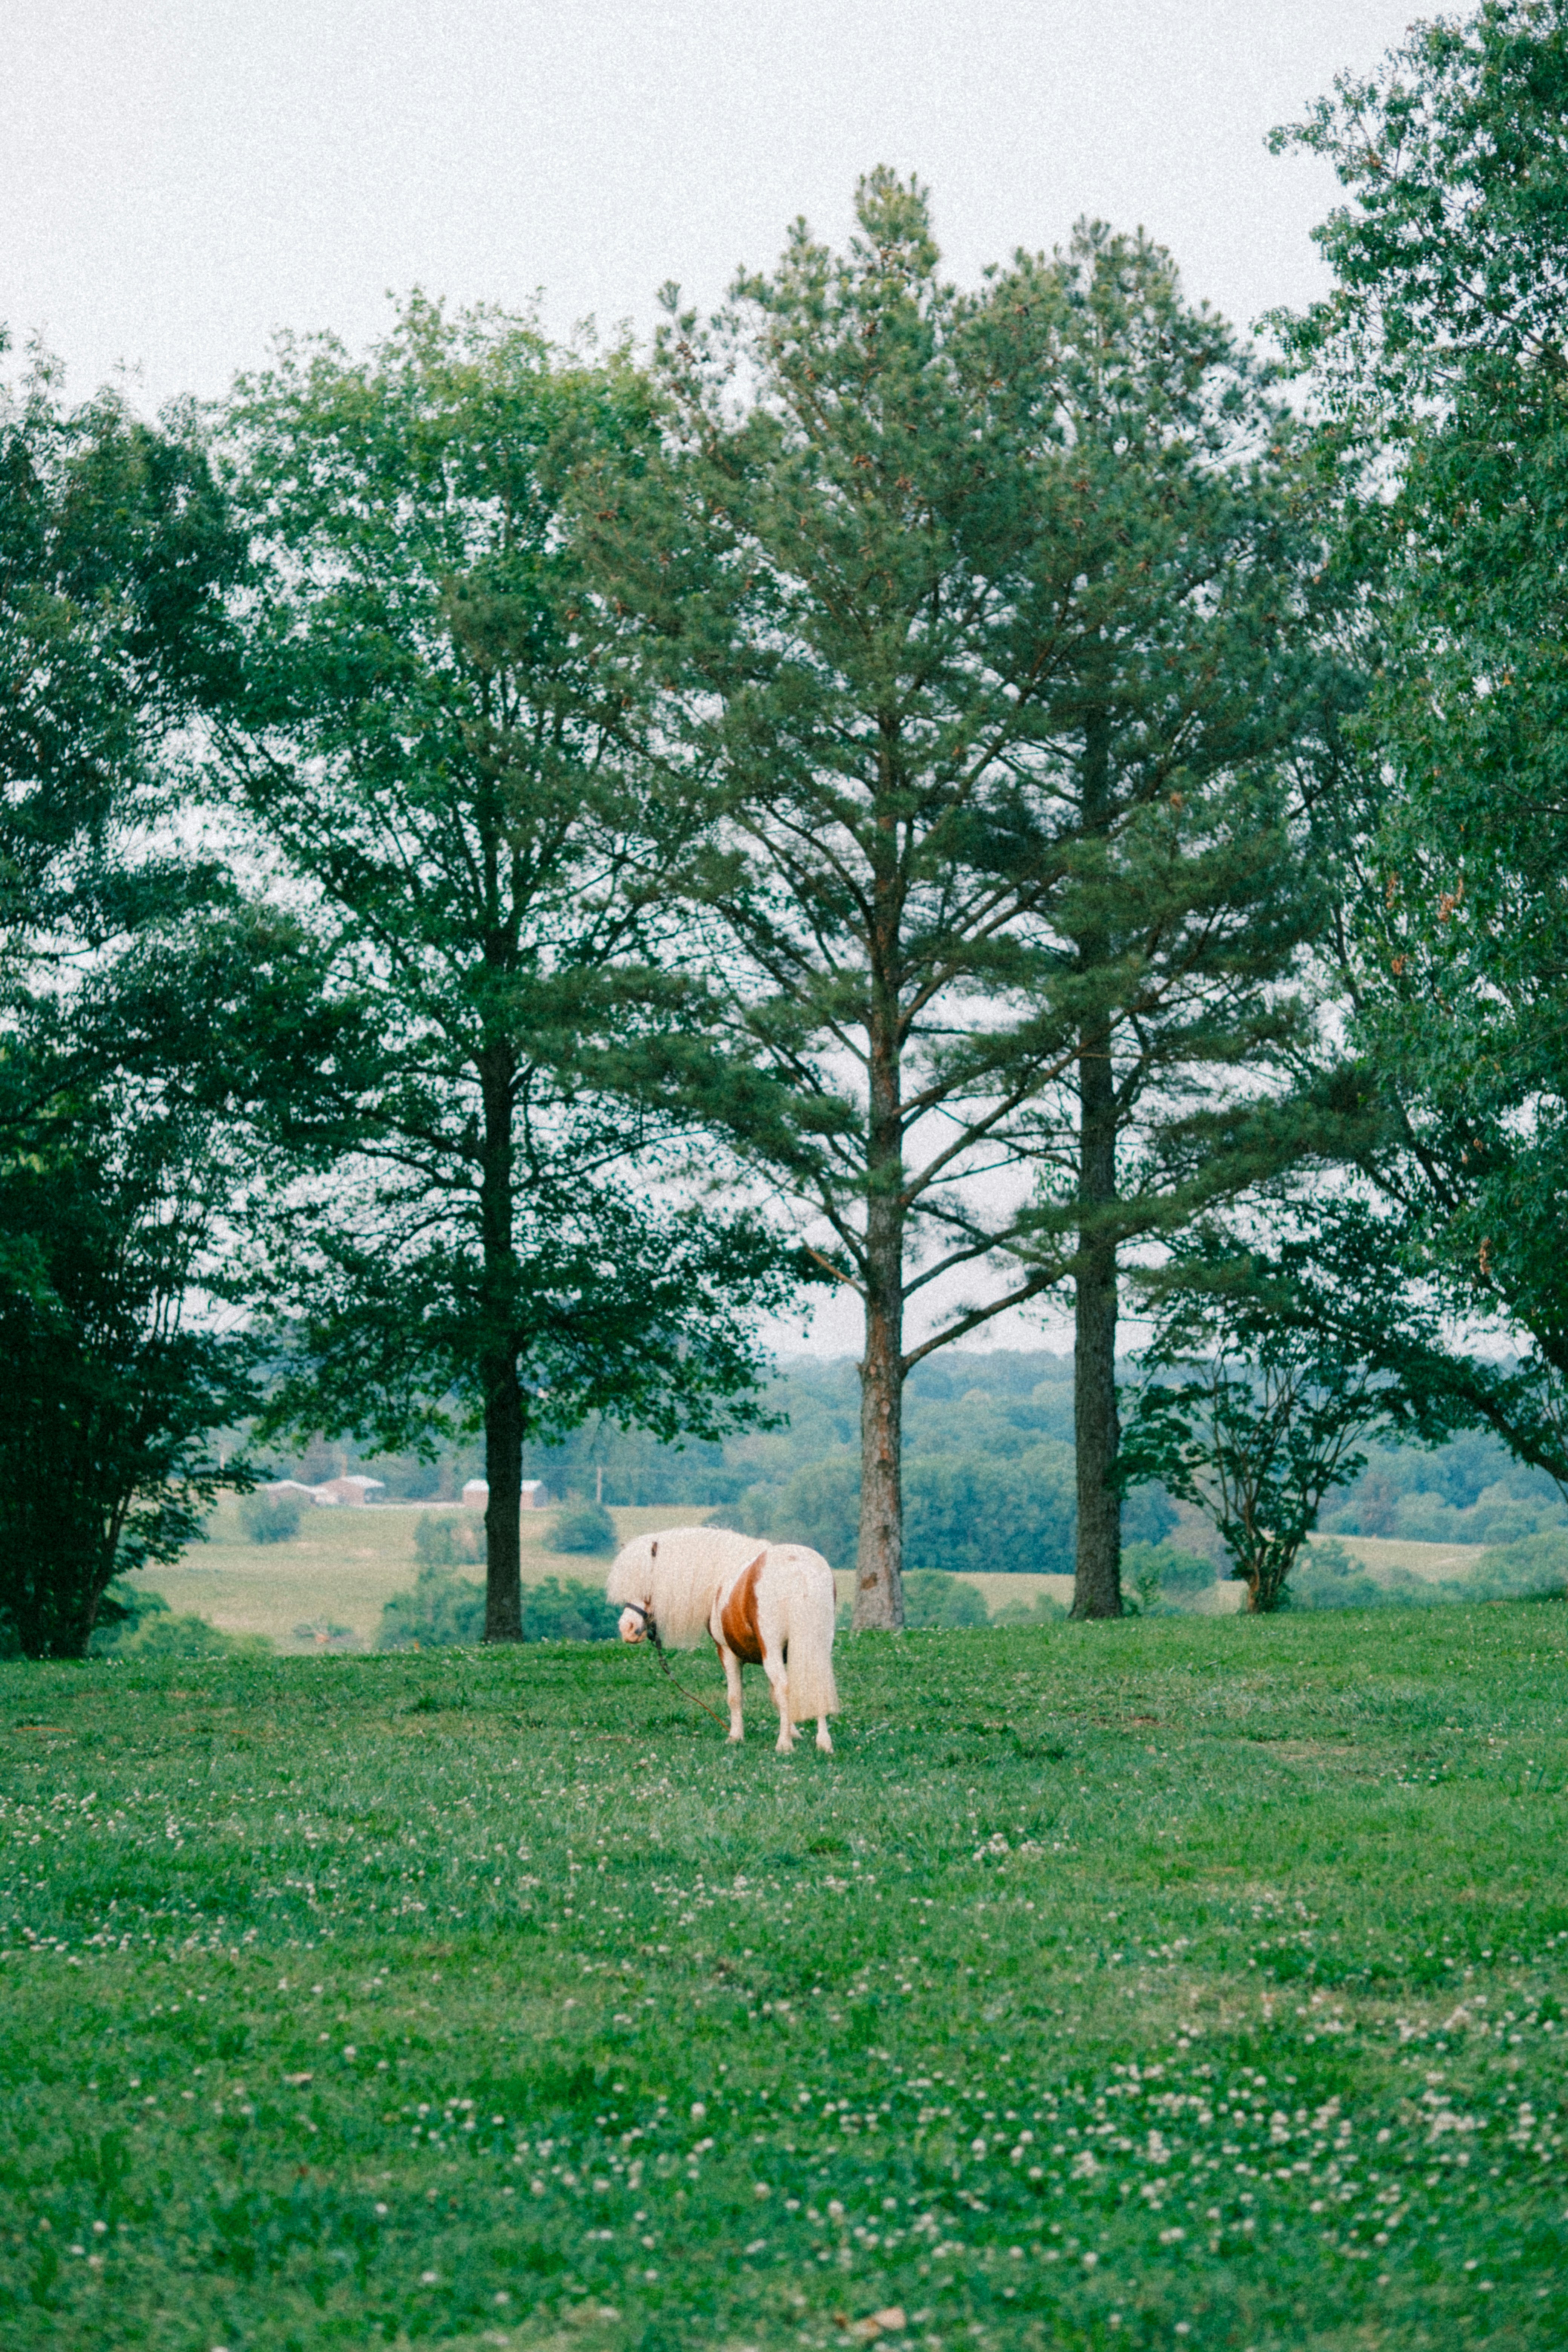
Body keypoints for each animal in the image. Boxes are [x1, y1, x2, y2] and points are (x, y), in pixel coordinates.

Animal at [606, 1525, 839, 1753]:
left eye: (647, 1585)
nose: (627, 1629)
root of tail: (797, 1567)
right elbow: (775, 1694)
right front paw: (795, 1733)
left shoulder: (728, 1652)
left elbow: (736, 1697)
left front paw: (736, 1737)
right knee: (818, 1686)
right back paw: (824, 1743)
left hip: (771, 1650)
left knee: (785, 1687)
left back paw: (784, 1745)